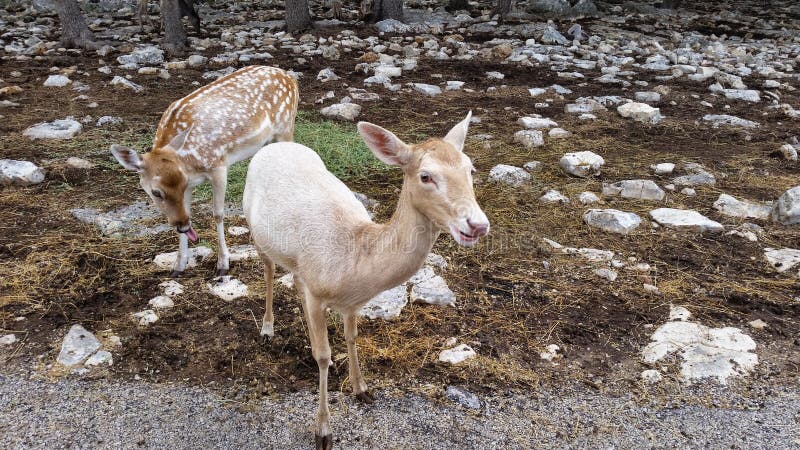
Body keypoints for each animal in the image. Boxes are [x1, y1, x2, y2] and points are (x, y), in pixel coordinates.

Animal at [111, 65, 298, 277]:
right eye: (155, 192)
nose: (182, 225)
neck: (189, 162)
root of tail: (290, 78)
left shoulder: (218, 165)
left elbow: (218, 213)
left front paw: (223, 263)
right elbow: (189, 212)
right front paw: (178, 266)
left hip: (286, 127)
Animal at [243, 112, 489, 449]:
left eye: (471, 169)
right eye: (426, 176)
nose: (477, 225)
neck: (355, 264)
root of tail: (275, 146)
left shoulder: (350, 303)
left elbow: (352, 337)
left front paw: (362, 389)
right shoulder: (319, 292)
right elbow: (323, 356)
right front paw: (323, 432)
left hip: (295, 260)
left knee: (295, 279)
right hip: (254, 229)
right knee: (268, 269)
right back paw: (267, 329)